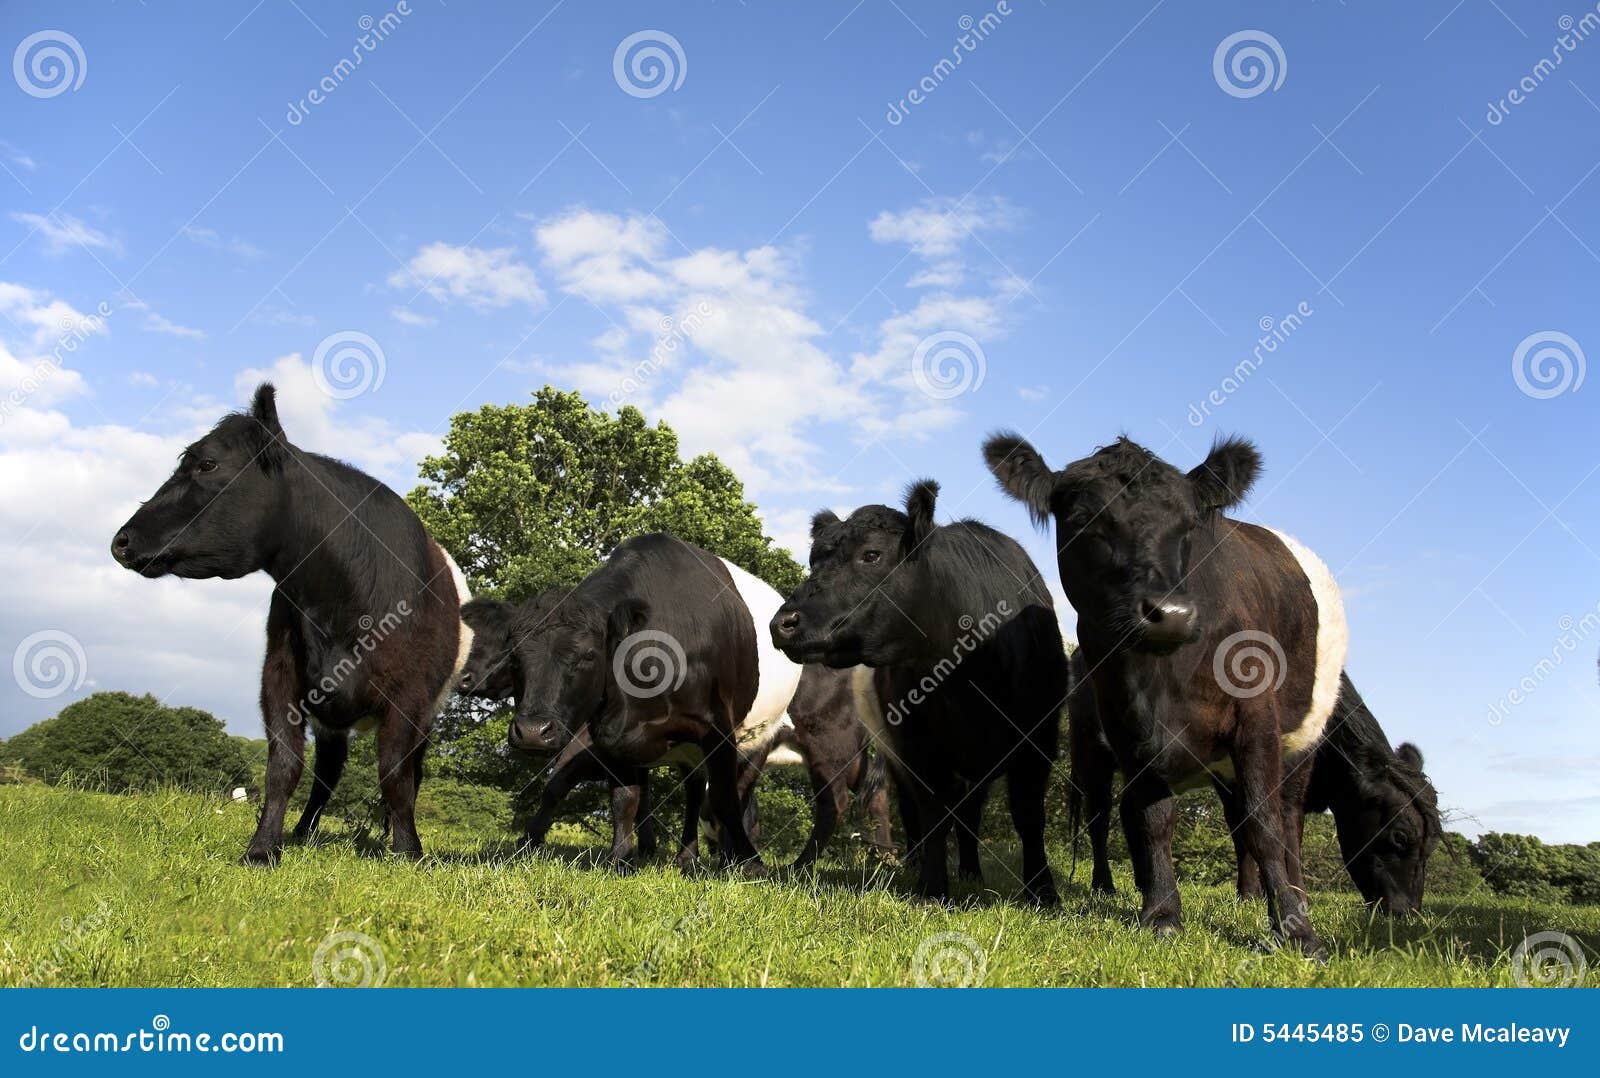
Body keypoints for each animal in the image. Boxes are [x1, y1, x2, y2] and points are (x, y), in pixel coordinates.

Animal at [110, 384, 472, 864]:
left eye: (207, 464)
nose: (122, 541)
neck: (337, 607)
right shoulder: (280, 675)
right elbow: (283, 767)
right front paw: (263, 848)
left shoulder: (409, 694)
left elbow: (396, 773)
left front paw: (409, 851)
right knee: (327, 773)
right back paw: (304, 832)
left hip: (426, 712)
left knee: (409, 771)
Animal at [505, 533, 801, 871]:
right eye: (513, 657)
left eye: (589, 655)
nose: (532, 731)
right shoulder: (613, 732)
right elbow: (625, 800)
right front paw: (619, 860)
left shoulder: (718, 730)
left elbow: (724, 799)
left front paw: (750, 863)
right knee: (694, 791)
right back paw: (687, 857)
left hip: (760, 736)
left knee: (736, 792)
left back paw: (729, 857)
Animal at [769, 480, 1068, 906]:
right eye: (813, 560)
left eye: (871, 554)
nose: (783, 623)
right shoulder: (916, 744)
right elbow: (932, 812)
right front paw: (932, 886)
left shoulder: (1039, 738)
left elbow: (1028, 816)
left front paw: (1043, 892)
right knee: (917, 811)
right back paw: (916, 863)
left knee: (969, 812)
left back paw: (971, 871)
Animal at [986, 433, 1342, 956]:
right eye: (1084, 519)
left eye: (1190, 523)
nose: (1169, 613)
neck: (1162, 678)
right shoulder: (1126, 724)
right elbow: (1153, 818)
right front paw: (1162, 914)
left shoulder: (1256, 720)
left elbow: (1264, 822)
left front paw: (1297, 930)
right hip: (1093, 748)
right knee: (1104, 815)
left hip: (1304, 736)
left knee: (1287, 816)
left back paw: (1290, 896)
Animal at [1070, 661, 1441, 914]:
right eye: (1400, 837)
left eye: (1431, 847)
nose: (1408, 912)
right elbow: (1254, 827)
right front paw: (1271, 893)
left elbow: (1277, 828)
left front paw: (1271, 893)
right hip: (1093, 750)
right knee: (1099, 817)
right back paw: (1104, 884)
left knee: (1130, 810)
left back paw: (1143, 880)